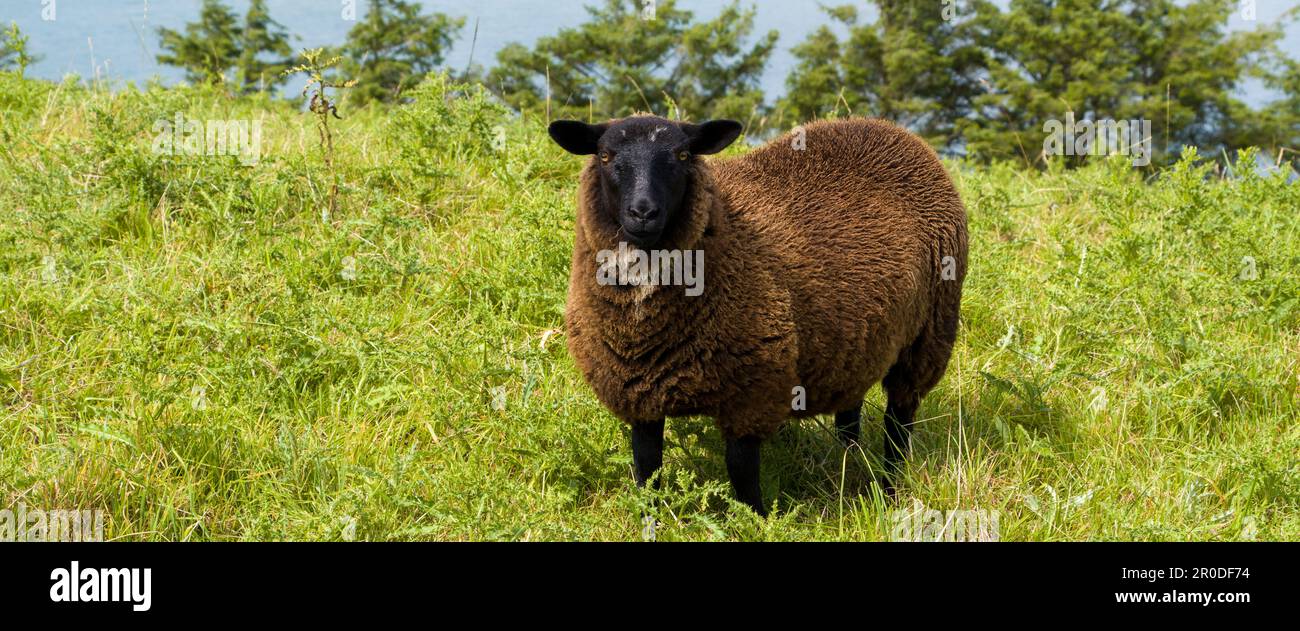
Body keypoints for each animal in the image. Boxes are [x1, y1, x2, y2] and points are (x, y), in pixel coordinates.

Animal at [549, 115, 968, 516]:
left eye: (683, 156)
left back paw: (890, 487)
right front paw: (650, 520)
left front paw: (756, 521)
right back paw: (849, 466)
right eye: (605, 156)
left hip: (929, 336)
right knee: (851, 409)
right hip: (858, 339)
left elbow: (741, 471)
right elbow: (647, 469)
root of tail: (892, 130)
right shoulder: (639, 395)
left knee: (900, 419)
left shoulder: (753, 392)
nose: (644, 213)